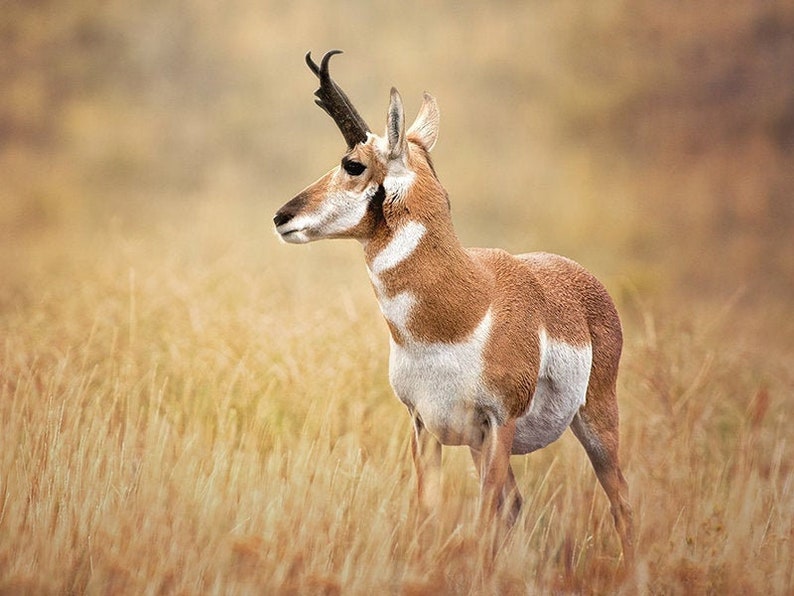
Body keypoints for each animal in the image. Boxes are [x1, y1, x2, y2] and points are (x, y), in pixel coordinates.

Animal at [274, 50, 634, 563]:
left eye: (353, 164)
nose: (282, 217)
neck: (463, 311)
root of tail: (579, 275)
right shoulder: (424, 426)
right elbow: (430, 516)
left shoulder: (498, 425)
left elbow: (483, 521)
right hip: (481, 446)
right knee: (518, 505)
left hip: (596, 424)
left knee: (620, 502)